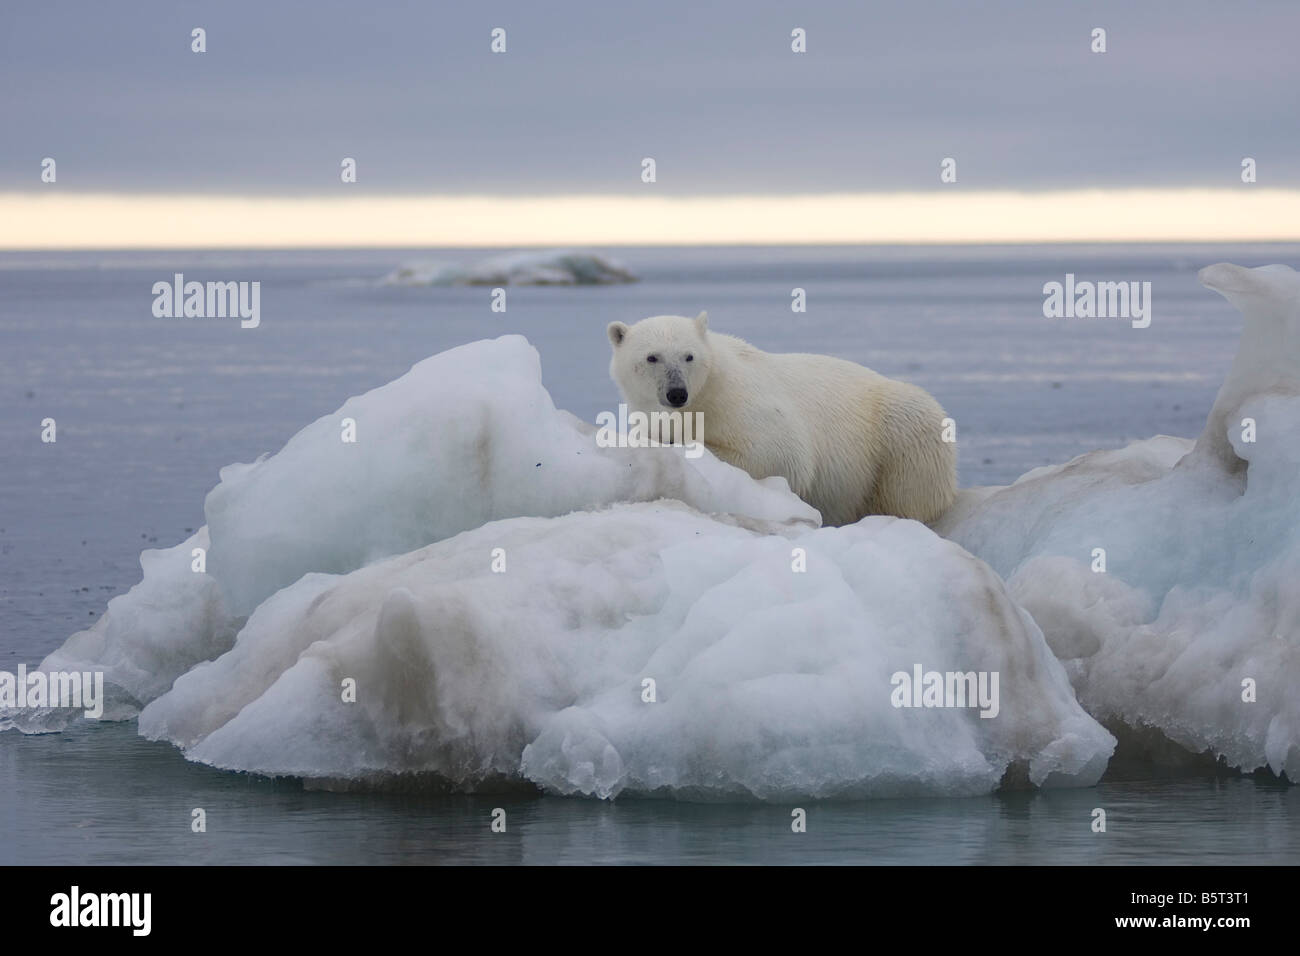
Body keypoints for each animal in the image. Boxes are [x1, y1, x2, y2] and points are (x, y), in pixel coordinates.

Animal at [606, 311, 957, 525]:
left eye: (689, 356)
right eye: (652, 357)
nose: (677, 393)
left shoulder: (739, 399)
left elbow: (779, 452)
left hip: (900, 432)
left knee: (908, 487)